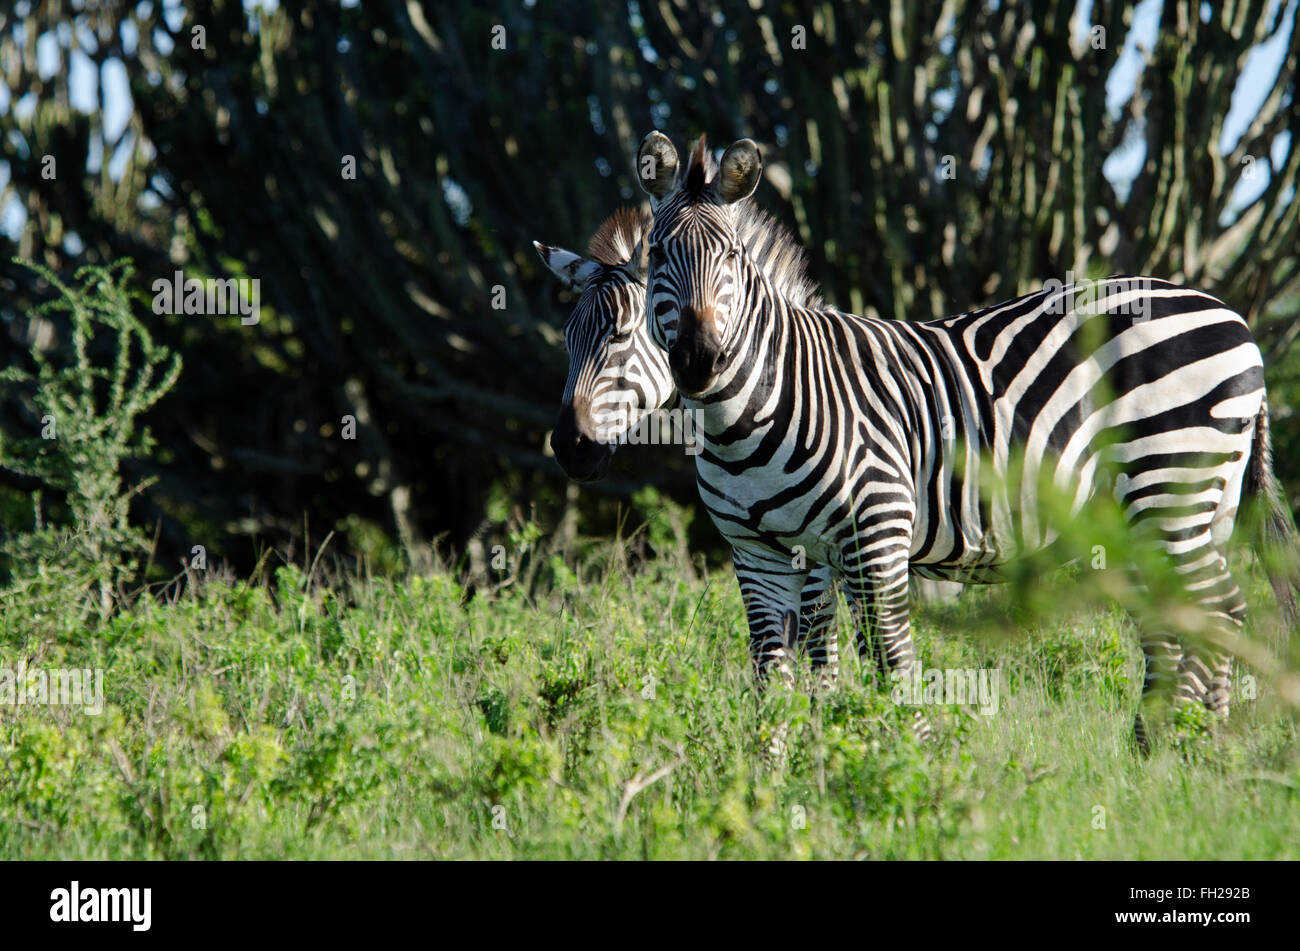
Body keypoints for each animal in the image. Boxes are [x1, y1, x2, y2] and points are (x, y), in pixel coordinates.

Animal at [636, 131, 1300, 750]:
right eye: (656, 254)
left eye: (731, 255)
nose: (698, 361)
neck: (753, 416)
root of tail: (1231, 316)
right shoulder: (760, 556)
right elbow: (771, 678)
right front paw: (778, 779)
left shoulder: (875, 529)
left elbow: (890, 662)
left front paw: (914, 765)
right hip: (1178, 505)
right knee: (1187, 621)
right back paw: (1190, 754)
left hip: (1169, 482)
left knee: (1216, 610)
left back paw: (1168, 750)